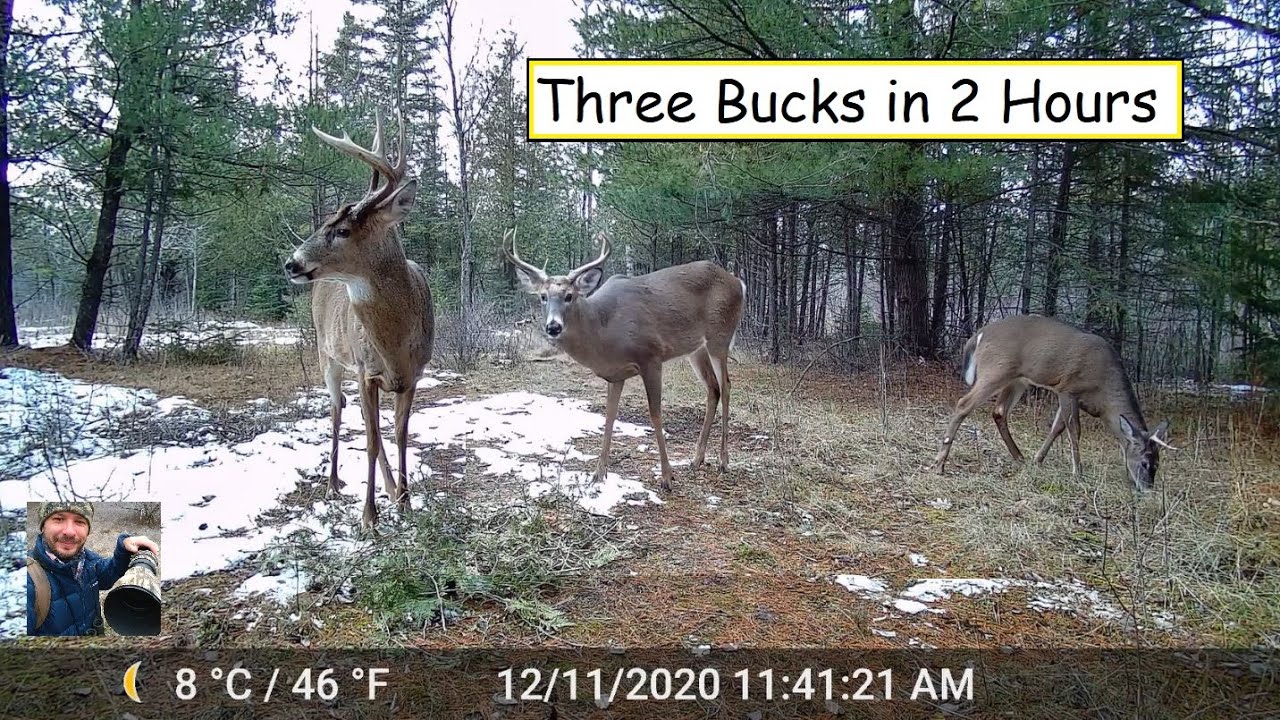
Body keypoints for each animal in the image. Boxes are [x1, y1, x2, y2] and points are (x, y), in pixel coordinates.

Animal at [283, 109, 434, 529]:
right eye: (323, 223)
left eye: (343, 229)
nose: (292, 263)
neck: (395, 342)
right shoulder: (367, 371)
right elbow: (369, 441)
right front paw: (369, 517)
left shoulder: (412, 376)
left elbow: (397, 435)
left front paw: (405, 502)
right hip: (328, 355)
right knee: (336, 412)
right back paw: (333, 485)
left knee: (367, 424)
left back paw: (388, 488)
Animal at [503, 229, 746, 492]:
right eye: (543, 296)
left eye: (569, 296)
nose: (553, 327)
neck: (604, 331)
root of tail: (738, 283)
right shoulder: (616, 373)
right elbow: (609, 416)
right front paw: (598, 474)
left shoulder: (652, 356)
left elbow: (655, 413)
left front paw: (667, 477)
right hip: (695, 349)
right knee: (713, 388)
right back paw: (697, 459)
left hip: (719, 336)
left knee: (726, 385)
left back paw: (723, 461)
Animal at [933, 314, 1174, 490]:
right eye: (1144, 463)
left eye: (1158, 463)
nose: (1147, 488)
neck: (1104, 395)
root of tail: (979, 335)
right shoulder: (1068, 388)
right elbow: (1073, 429)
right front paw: (1078, 472)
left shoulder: (1067, 395)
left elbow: (1057, 427)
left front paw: (1038, 459)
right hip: (996, 370)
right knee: (964, 403)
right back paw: (939, 463)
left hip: (1018, 379)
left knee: (999, 411)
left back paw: (1019, 456)